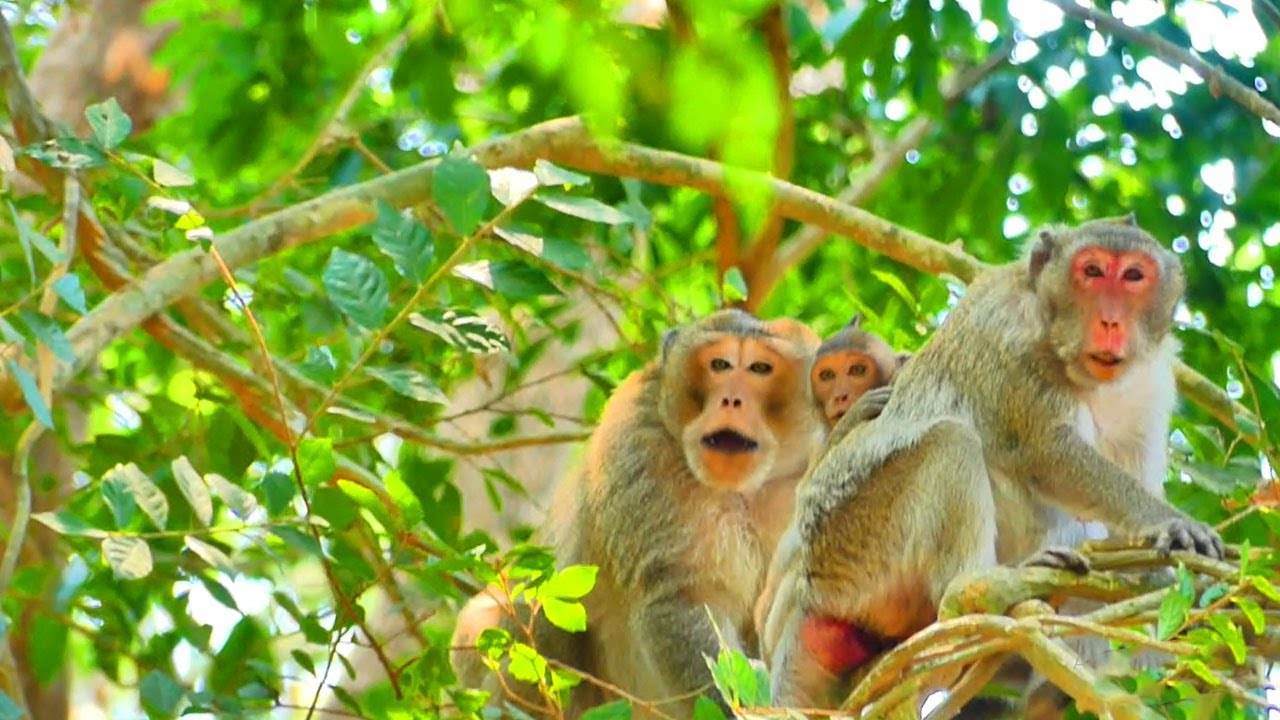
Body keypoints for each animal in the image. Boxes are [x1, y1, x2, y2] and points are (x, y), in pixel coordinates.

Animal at [451, 309, 826, 718]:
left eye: (760, 368)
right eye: (720, 364)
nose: (731, 399)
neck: (748, 488)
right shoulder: (639, 448)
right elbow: (682, 597)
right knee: (539, 616)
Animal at [757, 216, 1224, 710]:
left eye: (1134, 275)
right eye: (1092, 271)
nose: (1111, 322)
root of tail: (810, 593)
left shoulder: (1151, 380)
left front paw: (1156, 568)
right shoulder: (1006, 334)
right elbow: (1047, 451)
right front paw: (1169, 521)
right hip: (853, 548)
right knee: (950, 442)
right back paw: (971, 588)